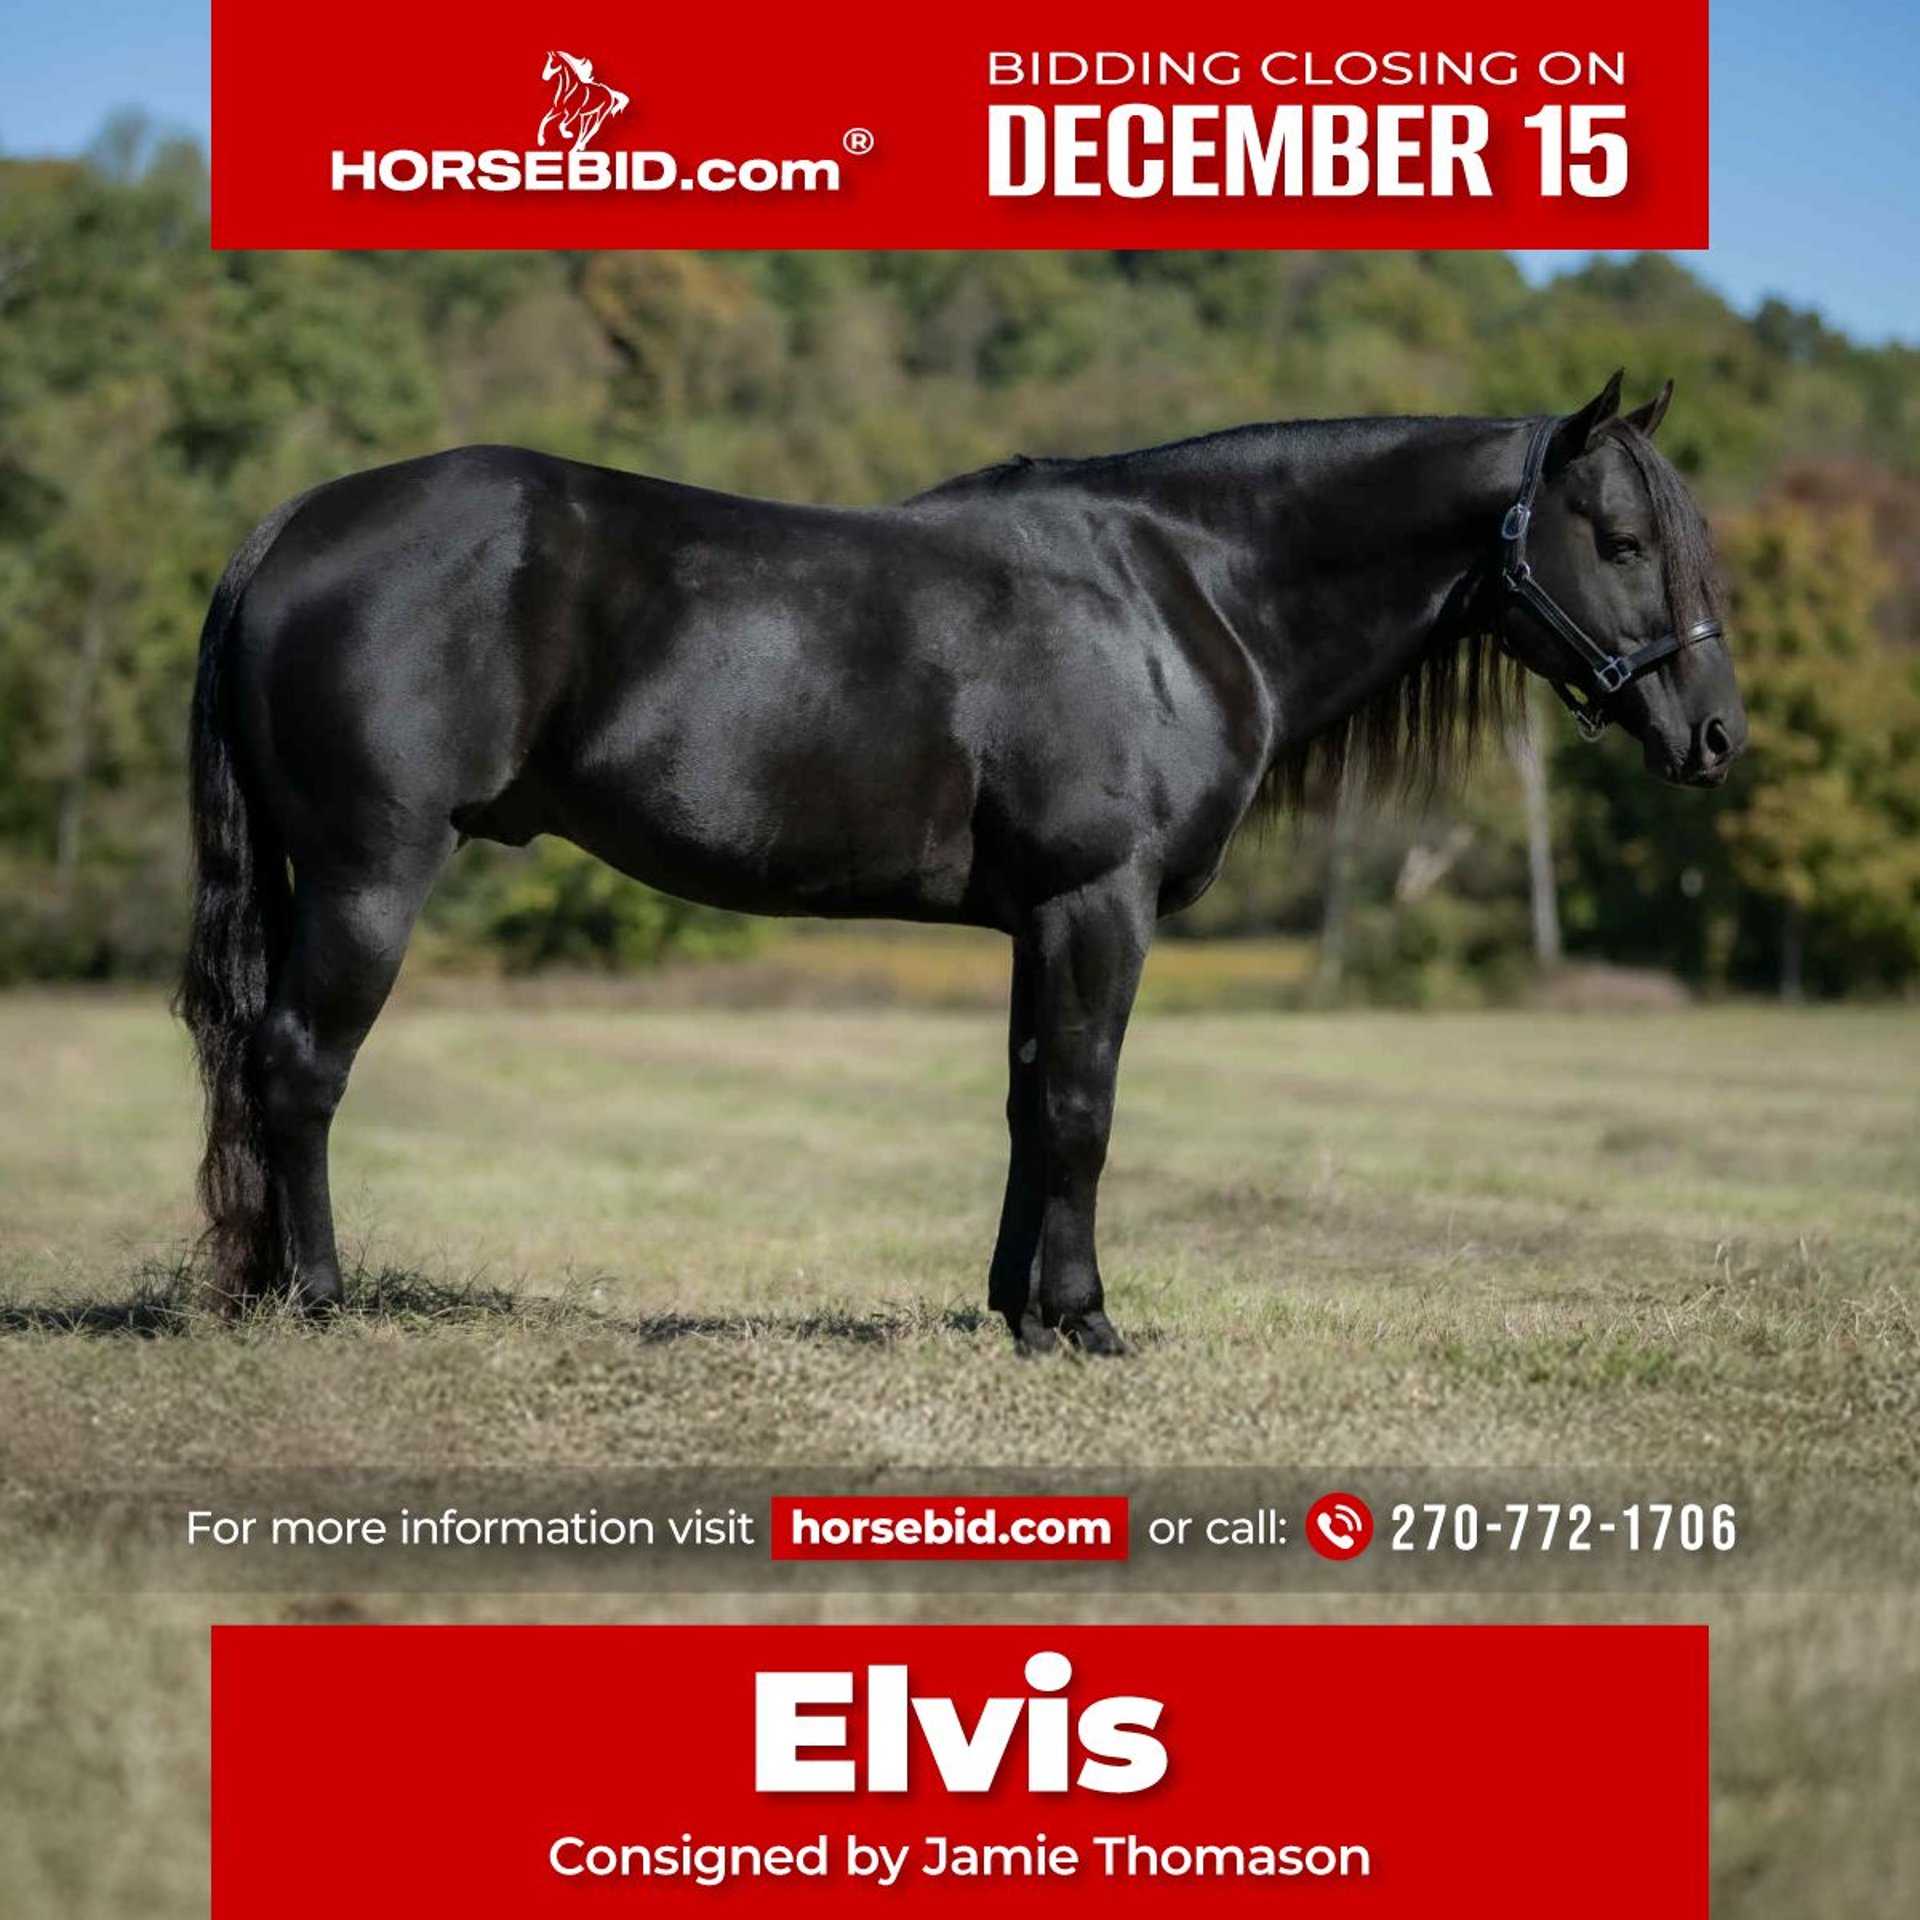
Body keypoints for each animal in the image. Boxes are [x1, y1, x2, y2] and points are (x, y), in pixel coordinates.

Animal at [178, 372, 1744, 1353]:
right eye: (1617, 539)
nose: (1715, 736)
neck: (1180, 595)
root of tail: (292, 525)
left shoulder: (1039, 922)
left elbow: (1027, 1105)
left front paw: (1018, 1312)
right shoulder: (1100, 905)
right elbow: (1085, 1111)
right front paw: (1090, 1320)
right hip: (372, 875)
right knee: (299, 1067)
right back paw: (315, 1300)